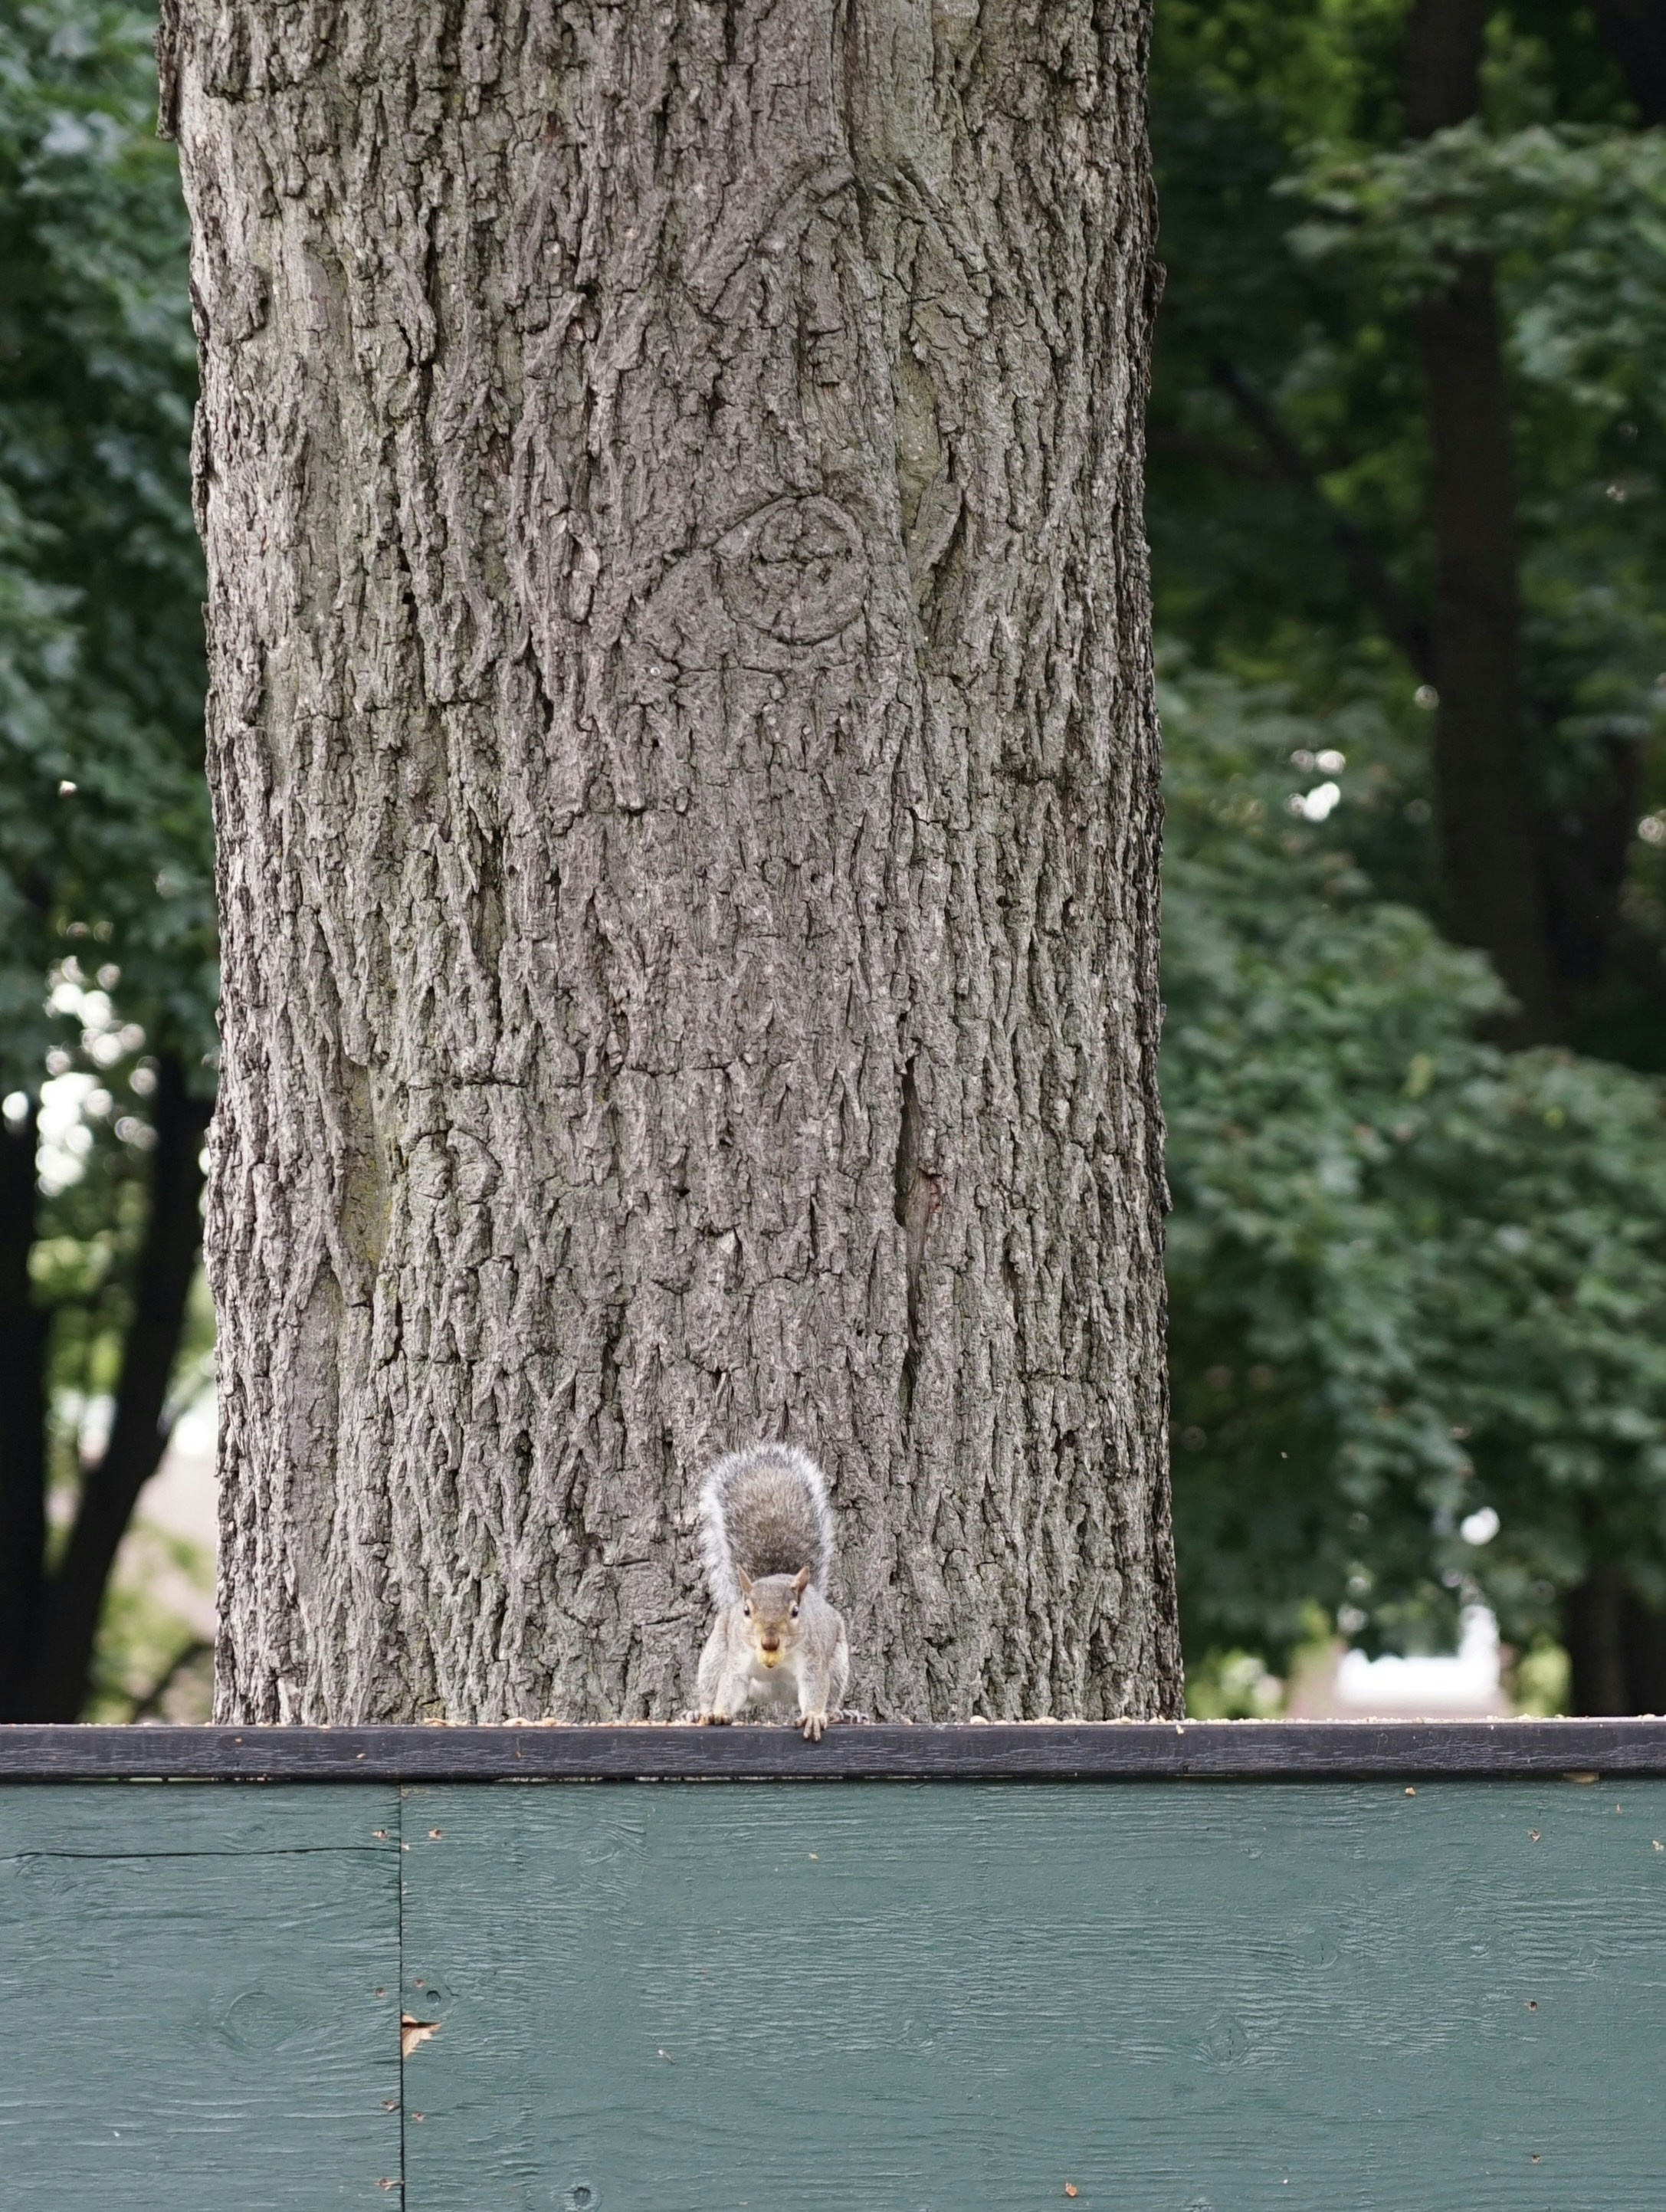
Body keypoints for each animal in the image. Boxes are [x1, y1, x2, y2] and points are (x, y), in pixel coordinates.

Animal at [694, 1443, 850, 1741]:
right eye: (746, 1610)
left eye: (795, 1611)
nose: (769, 1642)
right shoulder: (737, 1663)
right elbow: (729, 1686)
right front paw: (719, 1713)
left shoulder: (813, 1661)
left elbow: (815, 1688)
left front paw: (813, 1717)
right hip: (715, 1654)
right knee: (709, 1684)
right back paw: (700, 1711)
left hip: (838, 1663)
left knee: (832, 1691)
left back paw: (838, 1714)